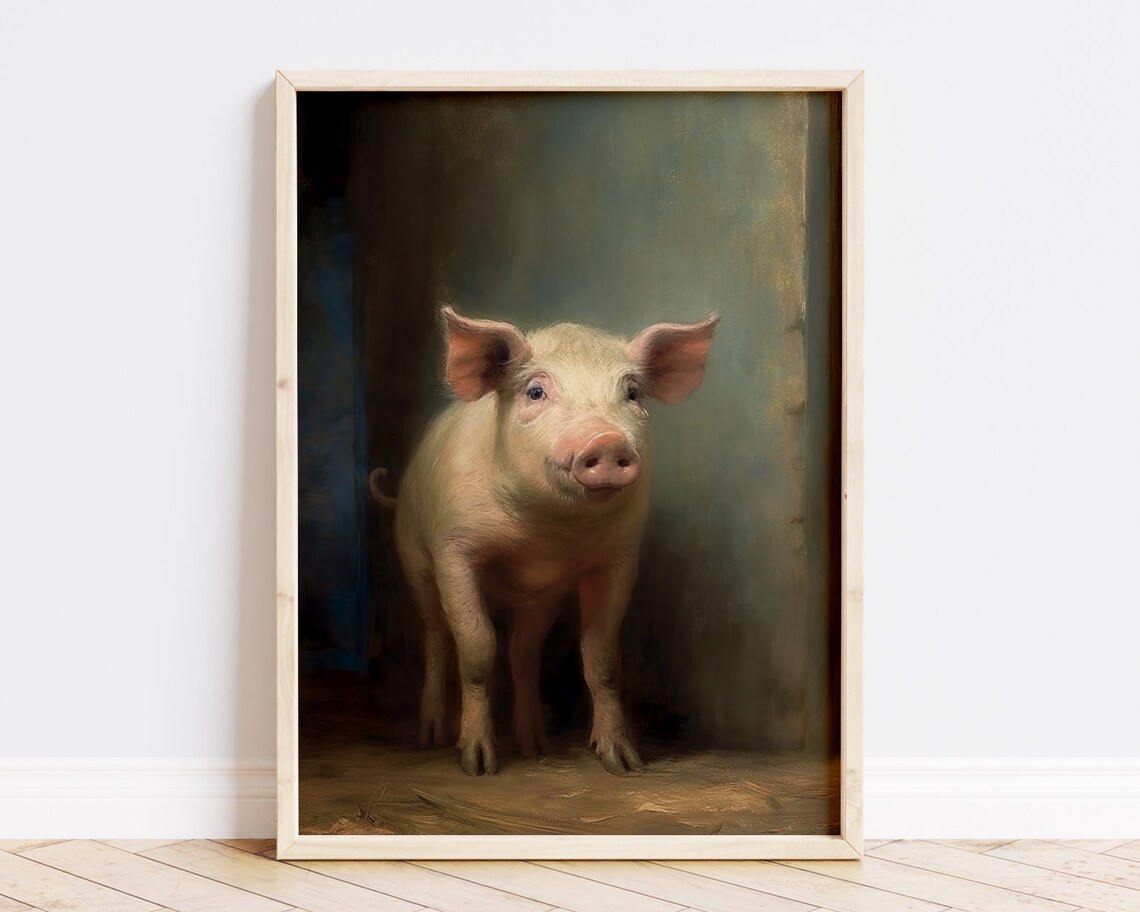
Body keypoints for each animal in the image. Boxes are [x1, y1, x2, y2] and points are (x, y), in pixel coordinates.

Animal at [378, 306, 717, 776]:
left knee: (523, 653)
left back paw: (534, 747)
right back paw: (430, 738)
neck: (543, 537)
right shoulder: (455, 551)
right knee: (437, 638)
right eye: (536, 391)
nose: (606, 440)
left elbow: (602, 658)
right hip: (415, 562)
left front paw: (624, 764)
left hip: (540, 599)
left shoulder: (616, 559)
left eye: (632, 393)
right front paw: (478, 764)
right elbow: (477, 649)